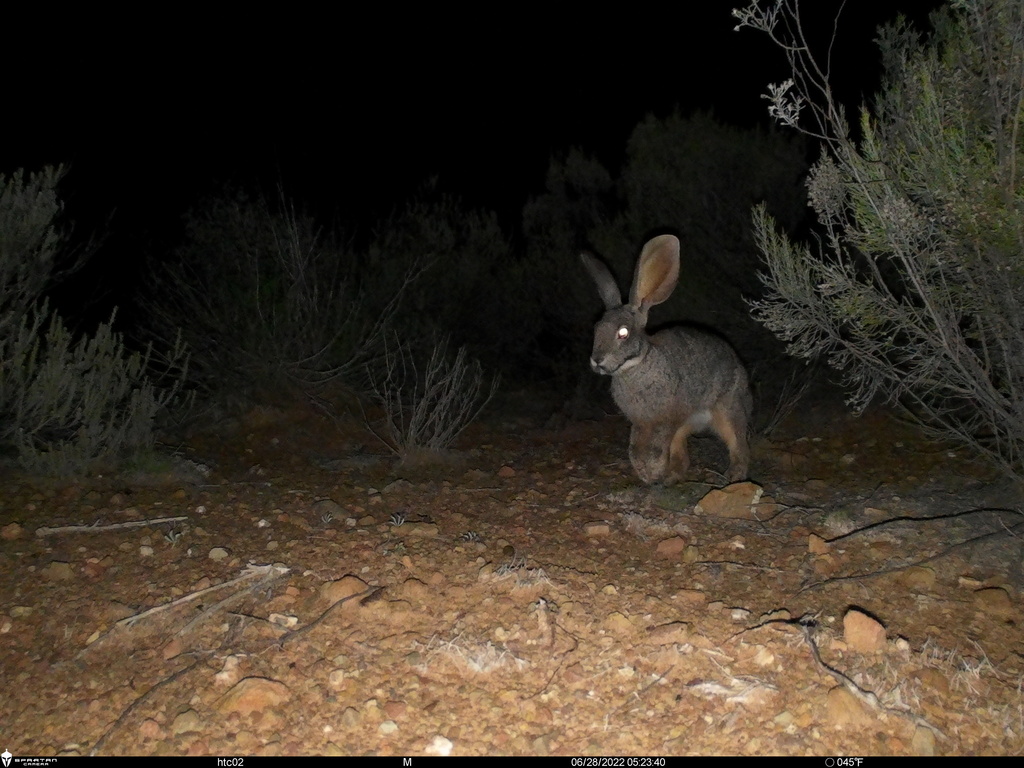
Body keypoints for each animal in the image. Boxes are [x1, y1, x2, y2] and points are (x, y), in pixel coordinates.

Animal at [582, 234, 752, 485]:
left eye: (623, 333)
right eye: (596, 328)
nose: (597, 360)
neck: (636, 367)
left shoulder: (666, 419)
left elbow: (654, 450)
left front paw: (652, 474)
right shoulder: (641, 422)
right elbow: (634, 449)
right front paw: (646, 475)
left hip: (728, 408)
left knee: (738, 441)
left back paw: (734, 476)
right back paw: (672, 477)